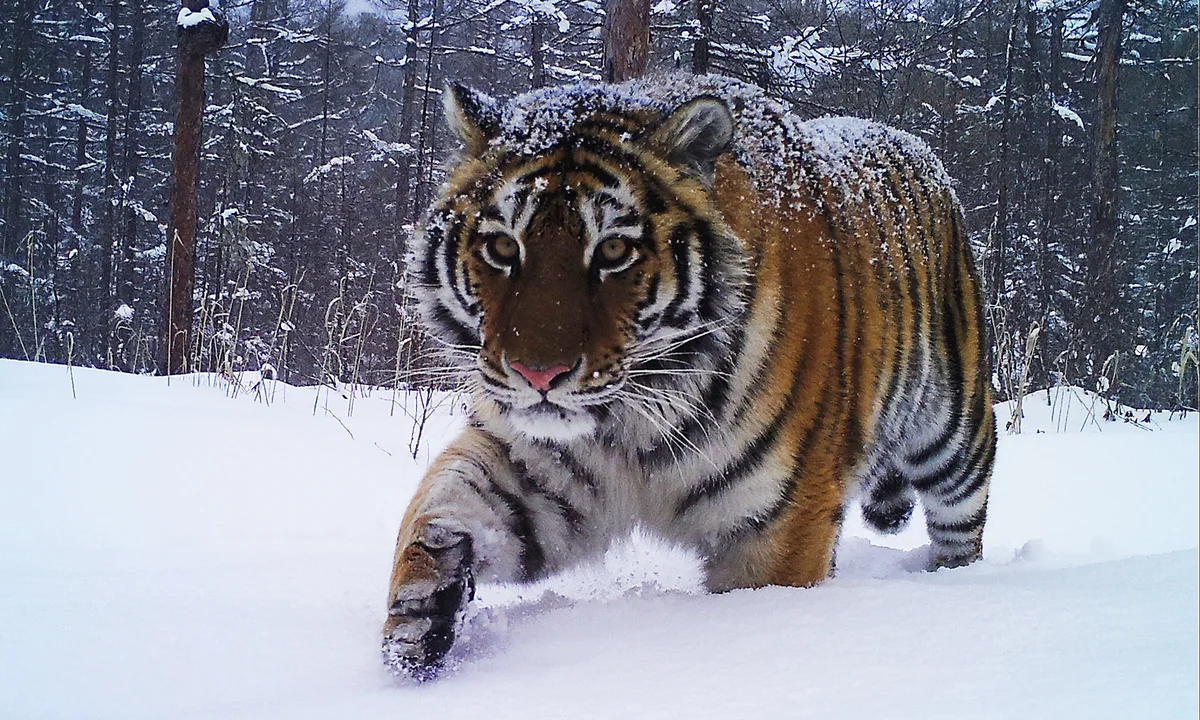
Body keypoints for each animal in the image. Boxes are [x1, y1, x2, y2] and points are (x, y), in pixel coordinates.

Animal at [381, 75, 993, 676]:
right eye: (503, 246)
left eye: (614, 250)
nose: (538, 373)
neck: (629, 425)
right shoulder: (535, 469)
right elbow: (437, 505)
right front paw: (419, 614)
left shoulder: (779, 525)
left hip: (956, 434)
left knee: (962, 524)